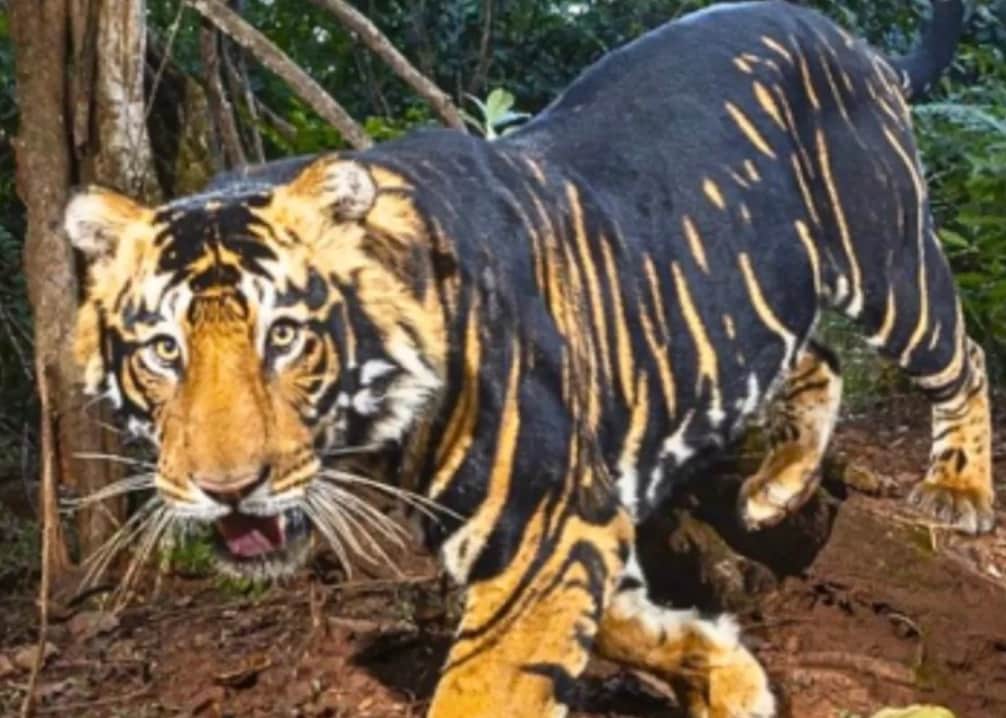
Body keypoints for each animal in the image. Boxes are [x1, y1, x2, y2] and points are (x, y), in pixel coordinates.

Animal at [65, 0, 993, 716]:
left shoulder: (544, 528)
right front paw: (721, 672)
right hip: (757, 294)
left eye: (284, 337)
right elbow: (618, 617)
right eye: (163, 351)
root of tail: (850, 39)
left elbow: (488, 686)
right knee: (817, 357)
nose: (229, 488)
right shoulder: (566, 523)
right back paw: (776, 490)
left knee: (966, 357)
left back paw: (958, 492)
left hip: (890, 262)